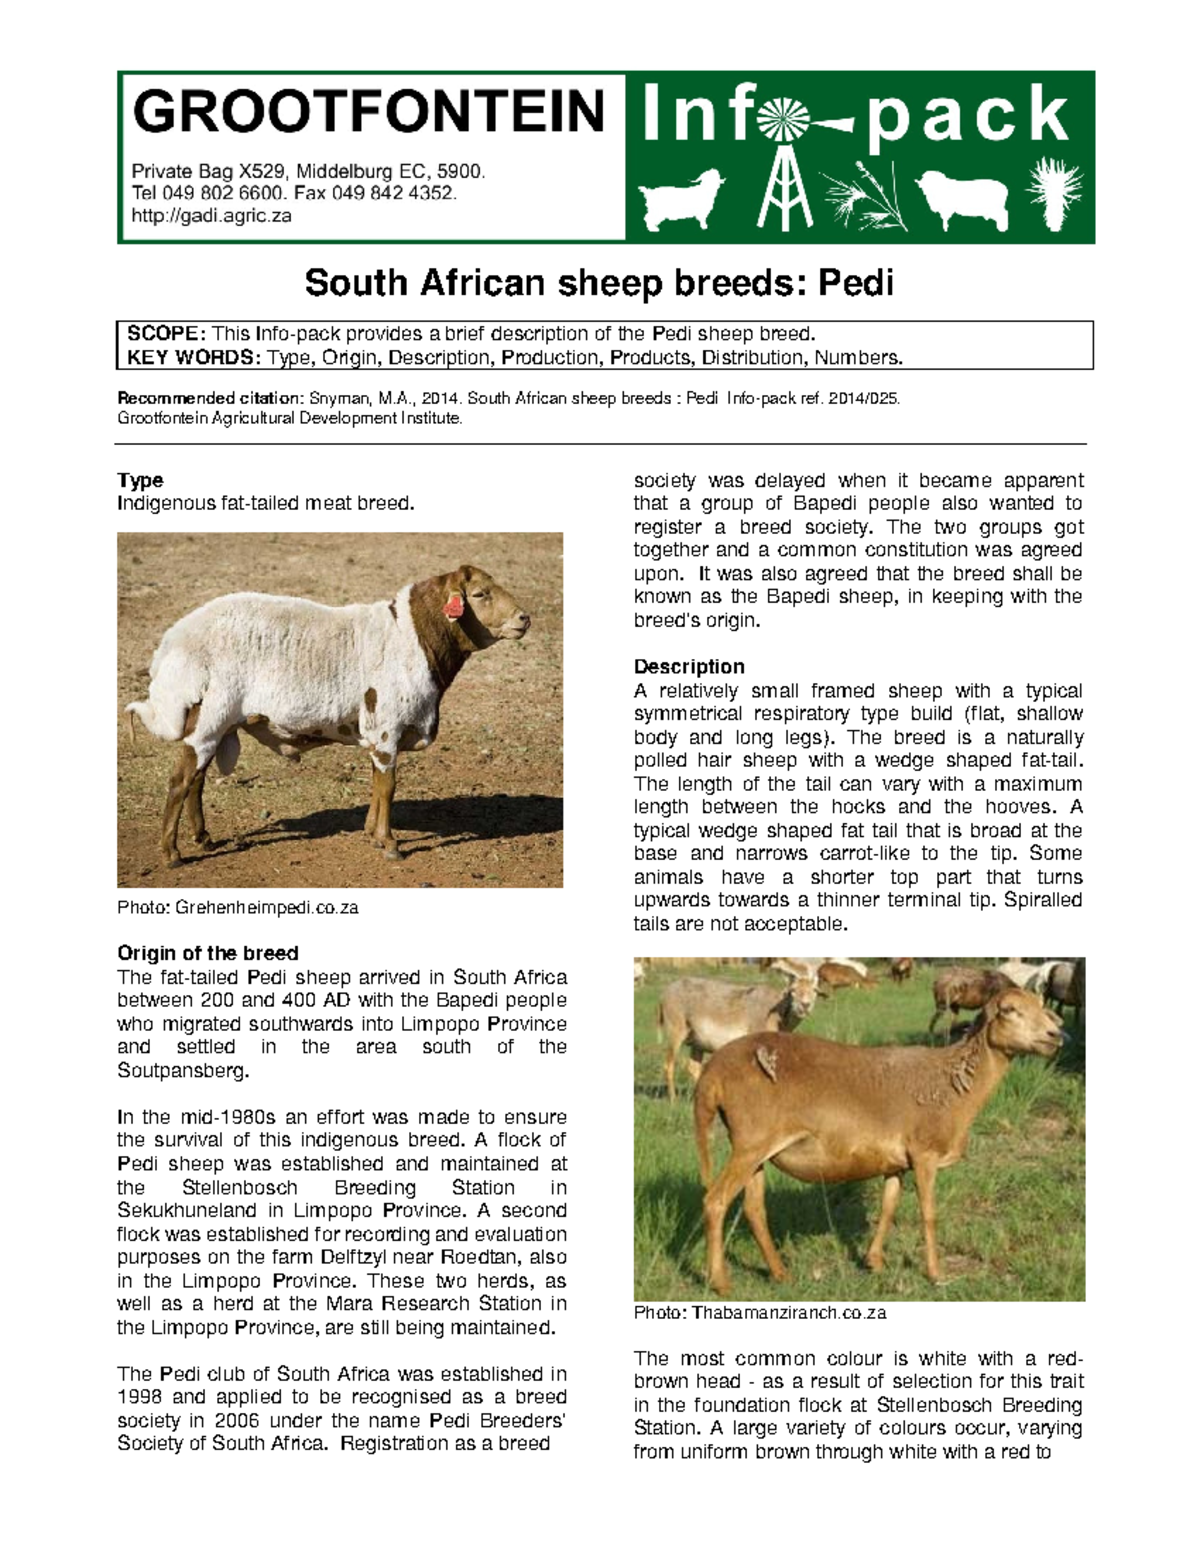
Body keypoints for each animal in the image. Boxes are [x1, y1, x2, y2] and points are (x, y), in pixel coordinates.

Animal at [127, 564, 531, 868]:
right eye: (479, 594)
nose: (524, 618)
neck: (413, 636)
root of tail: (172, 642)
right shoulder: (387, 726)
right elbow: (389, 785)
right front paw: (389, 843)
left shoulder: (376, 731)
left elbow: (377, 783)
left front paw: (371, 833)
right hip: (210, 714)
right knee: (181, 780)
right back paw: (172, 853)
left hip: (214, 722)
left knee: (196, 780)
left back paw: (203, 838)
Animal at [659, 973, 816, 1104]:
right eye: (793, 990)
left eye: (814, 990)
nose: (805, 1005)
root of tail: (667, 990)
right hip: (676, 1033)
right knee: (669, 1065)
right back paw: (673, 1100)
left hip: (697, 1043)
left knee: (693, 1067)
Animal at [694, 987, 1064, 1293]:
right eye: (1009, 1010)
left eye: (1041, 1005)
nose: (1056, 1034)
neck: (955, 1087)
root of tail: (712, 1073)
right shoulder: (925, 1153)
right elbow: (929, 1214)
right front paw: (936, 1274)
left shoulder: (896, 1160)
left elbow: (889, 1206)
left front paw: (874, 1261)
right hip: (751, 1142)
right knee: (715, 1201)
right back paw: (720, 1283)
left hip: (755, 1150)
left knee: (754, 1209)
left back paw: (780, 1273)